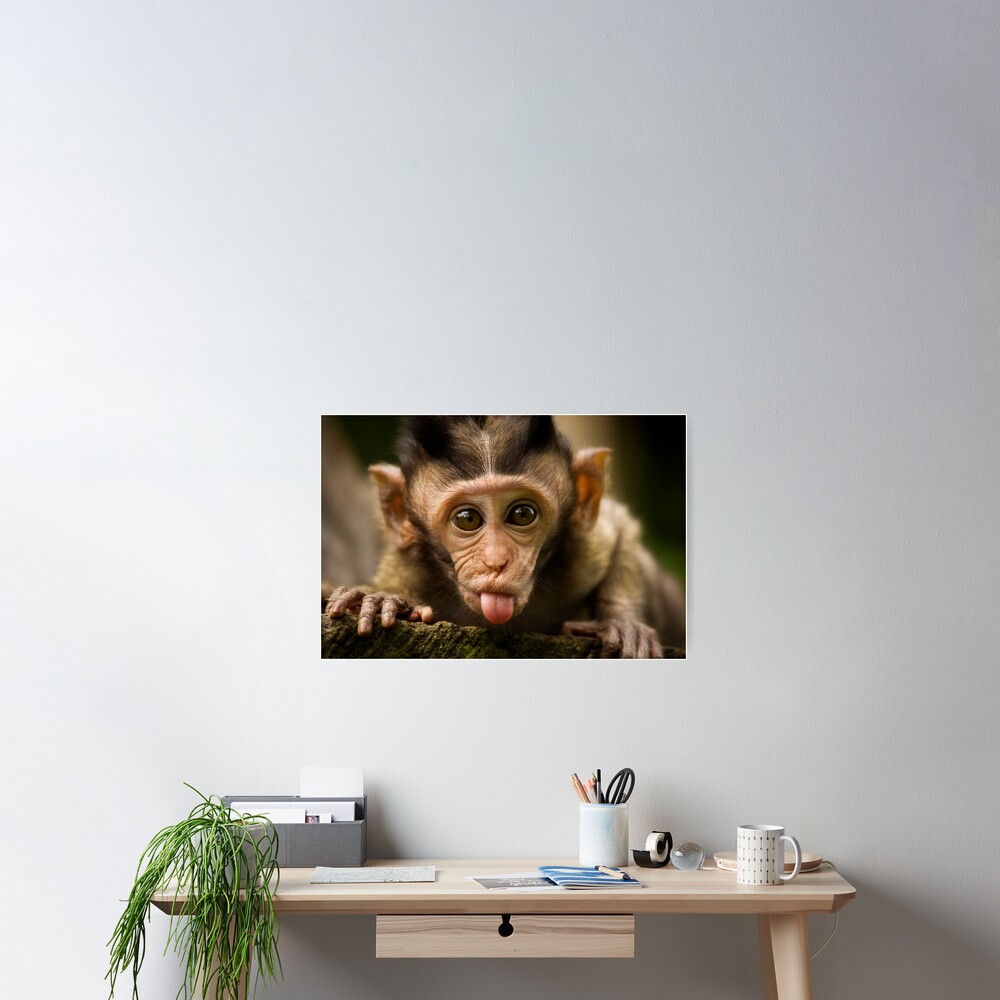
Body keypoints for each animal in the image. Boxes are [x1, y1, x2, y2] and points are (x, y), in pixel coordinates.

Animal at [324, 416, 685, 658]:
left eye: (522, 514)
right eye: (467, 519)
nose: (496, 561)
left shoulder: (585, 551)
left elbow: (620, 528)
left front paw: (622, 623)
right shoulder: (408, 566)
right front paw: (384, 598)